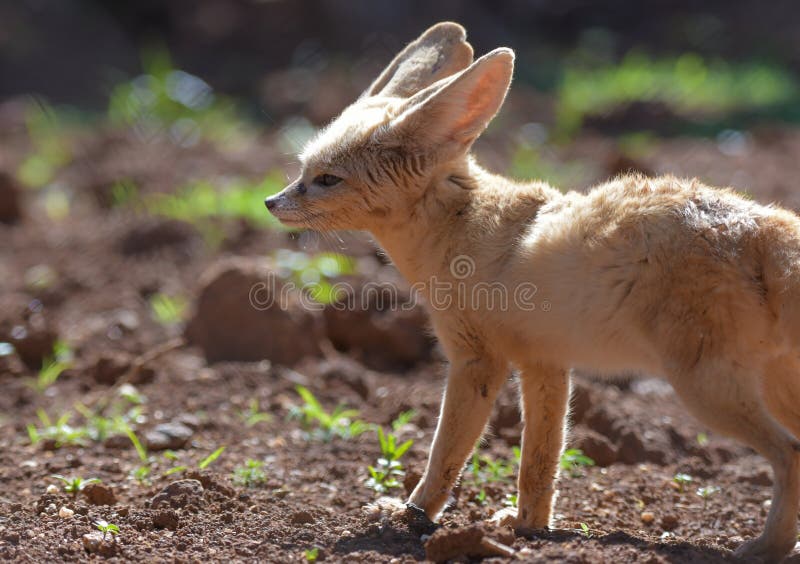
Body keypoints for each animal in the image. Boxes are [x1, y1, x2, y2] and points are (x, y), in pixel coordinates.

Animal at [265, 22, 800, 562]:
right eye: (303, 173)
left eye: (326, 179)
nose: (270, 202)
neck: (461, 226)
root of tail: (768, 225)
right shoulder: (546, 364)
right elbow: (539, 463)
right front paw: (528, 529)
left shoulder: (478, 362)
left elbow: (447, 453)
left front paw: (411, 517)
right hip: (770, 391)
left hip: (705, 389)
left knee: (790, 454)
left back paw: (765, 548)